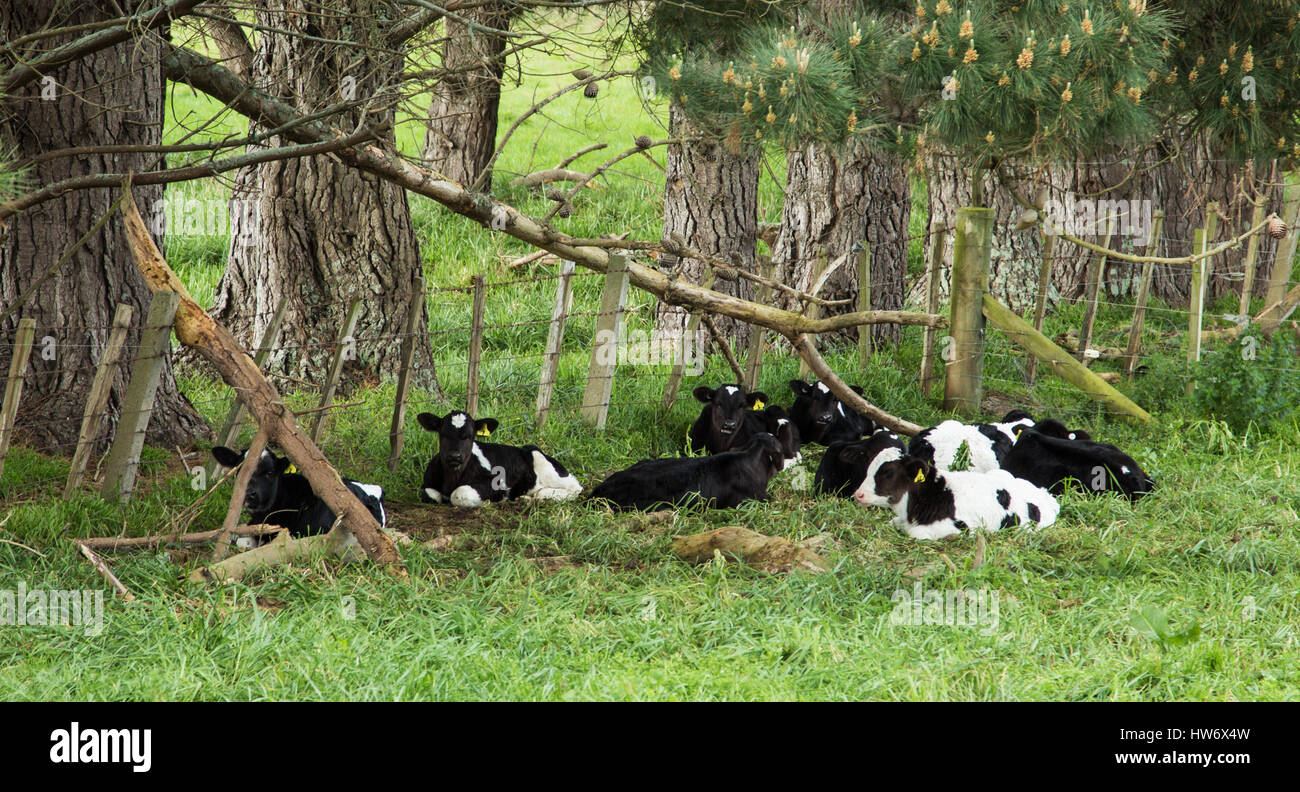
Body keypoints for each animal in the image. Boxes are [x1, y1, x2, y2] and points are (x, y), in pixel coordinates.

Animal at [417, 411, 582, 507]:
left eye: (470, 436)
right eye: (443, 434)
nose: (455, 456)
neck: (452, 479)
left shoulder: (496, 483)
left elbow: (460, 493)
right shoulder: (427, 483)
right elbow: (429, 494)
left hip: (543, 463)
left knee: (575, 488)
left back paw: (543, 496)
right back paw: (525, 499)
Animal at [854, 456, 1060, 540]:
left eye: (888, 473)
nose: (858, 494)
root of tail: (1045, 494)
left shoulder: (960, 528)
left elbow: (916, 534)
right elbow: (892, 522)